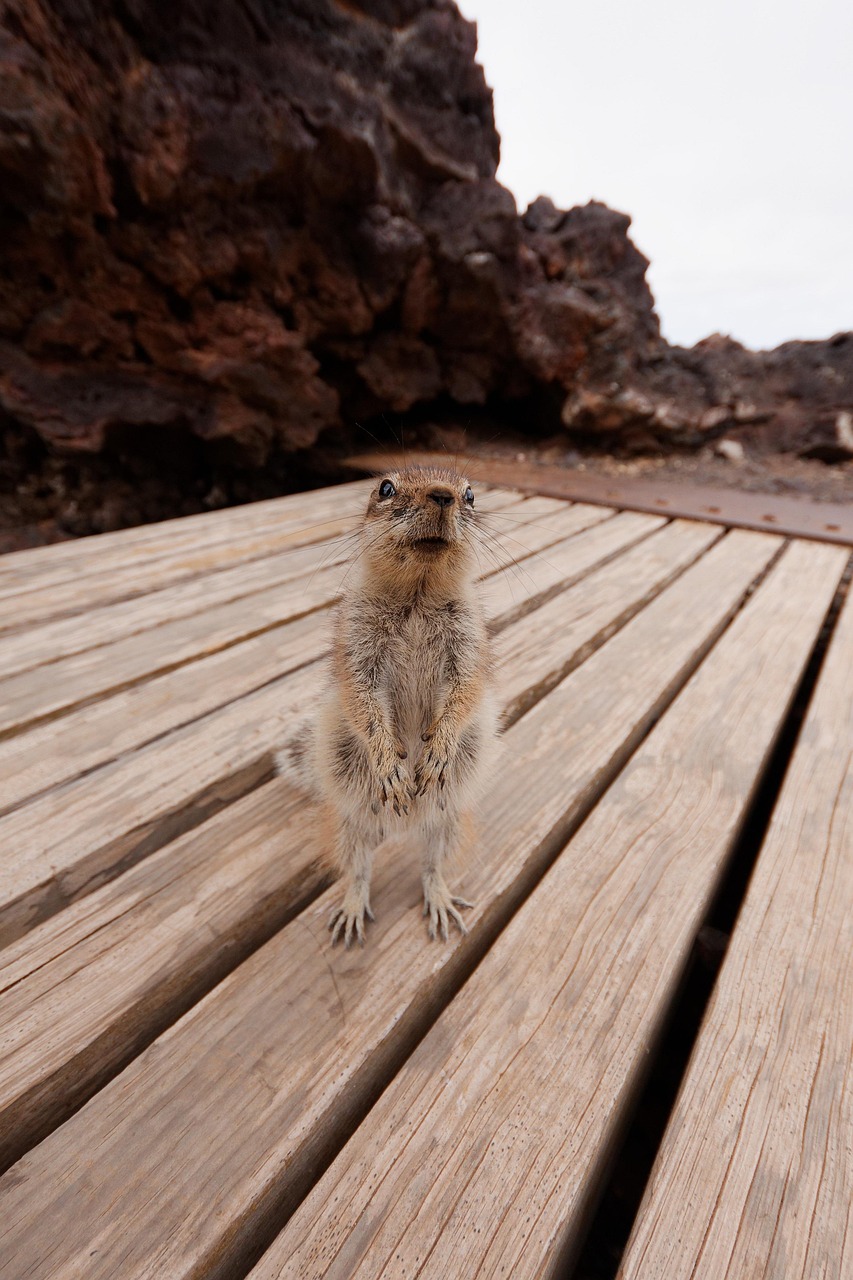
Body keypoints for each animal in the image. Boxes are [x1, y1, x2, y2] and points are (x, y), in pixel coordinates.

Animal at [281, 465, 497, 947]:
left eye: (471, 494)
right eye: (385, 488)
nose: (443, 495)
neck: (418, 595)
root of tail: (403, 826)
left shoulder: (471, 644)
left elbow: (464, 693)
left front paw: (437, 751)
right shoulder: (355, 646)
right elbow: (362, 703)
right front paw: (391, 767)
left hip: (447, 823)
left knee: (431, 865)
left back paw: (439, 898)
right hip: (351, 825)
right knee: (358, 868)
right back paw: (351, 906)